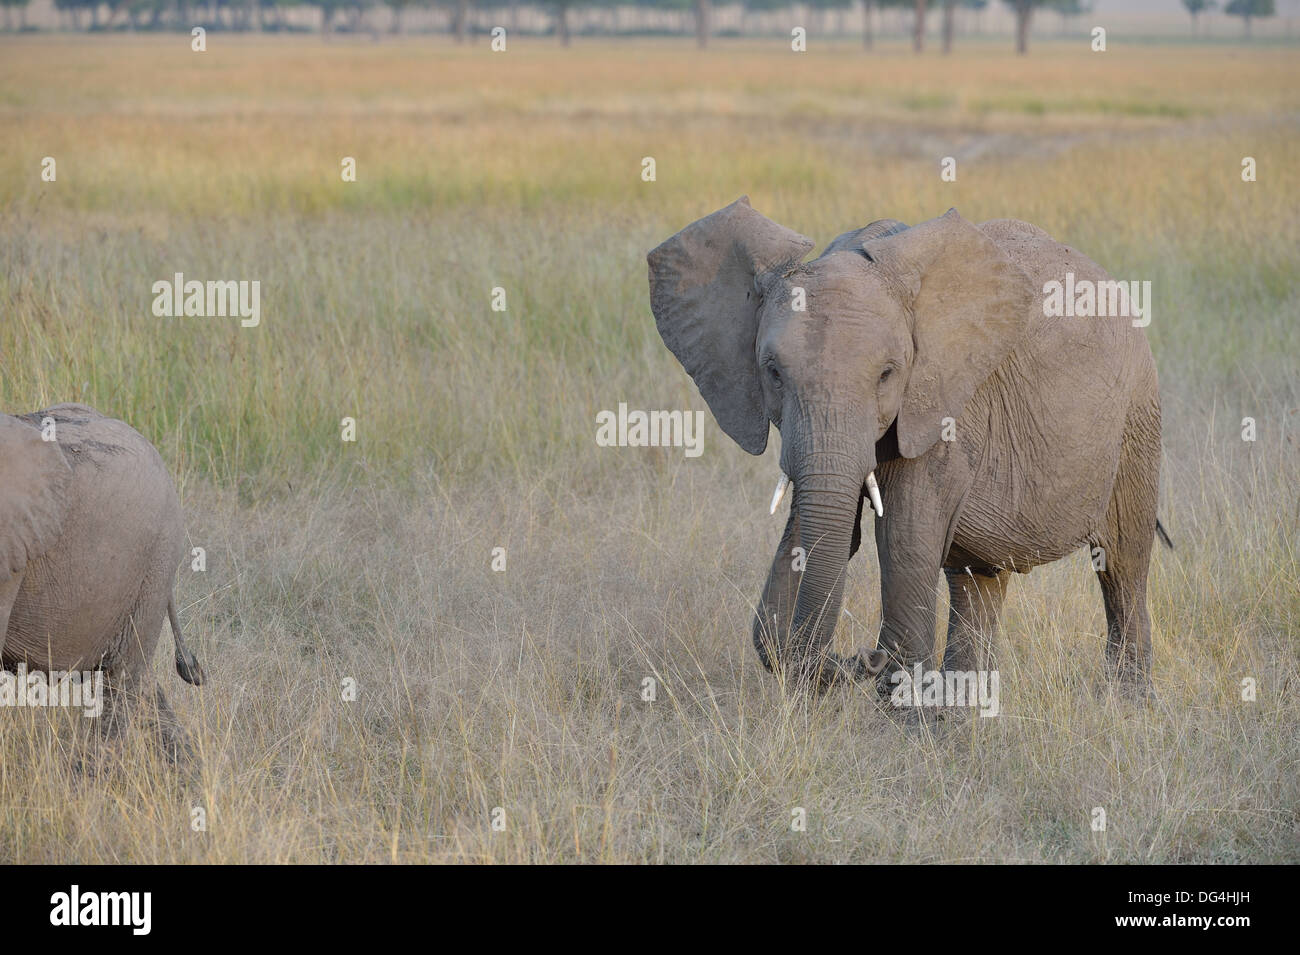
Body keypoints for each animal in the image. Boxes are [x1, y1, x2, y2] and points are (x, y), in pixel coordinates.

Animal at [648, 198, 1165, 699]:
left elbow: (904, 535)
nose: (859, 657)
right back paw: (962, 711)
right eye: (772, 372)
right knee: (978, 578)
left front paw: (900, 714)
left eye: (887, 373)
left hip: (1137, 416)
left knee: (1122, 561)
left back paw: (1127, 700)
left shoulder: (944, 400)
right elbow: (820, 526)